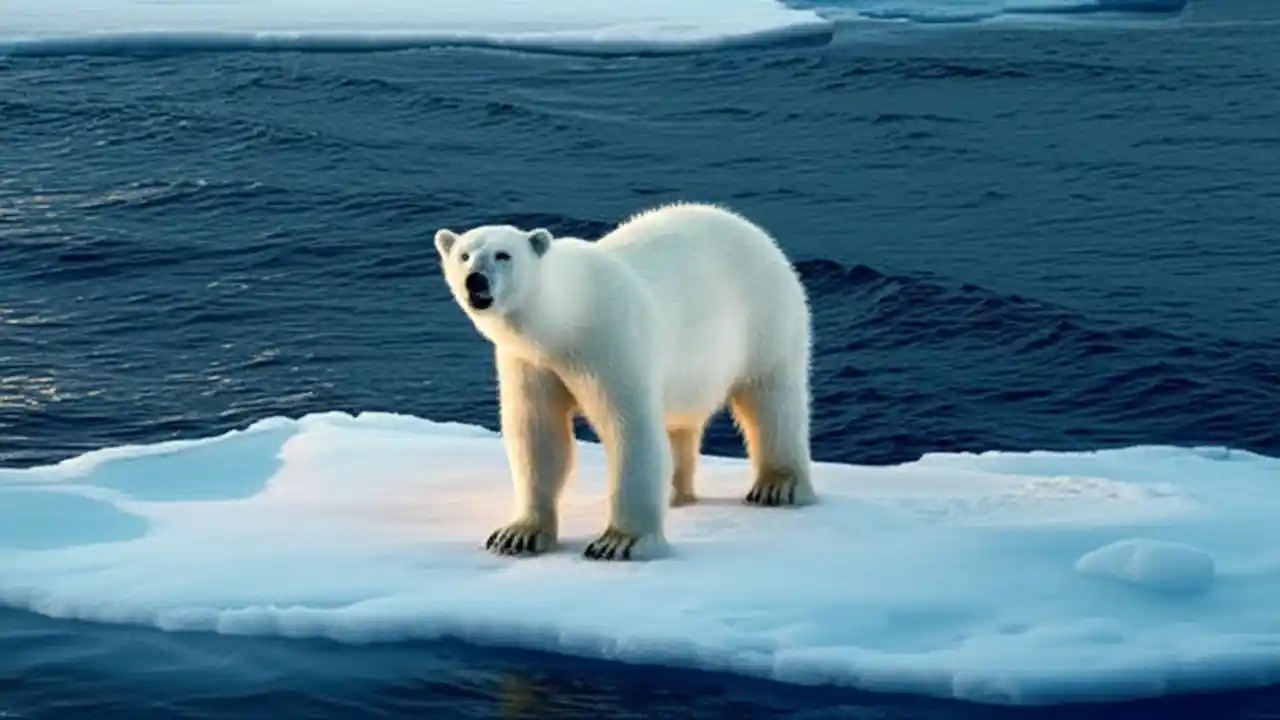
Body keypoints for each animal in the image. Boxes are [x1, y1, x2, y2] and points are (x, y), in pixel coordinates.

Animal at [434, 202, 814, 561]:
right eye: (464, 255)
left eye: (503, 254)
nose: (475, 280)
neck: (570, 318)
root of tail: (752, 229)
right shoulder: (531, 362)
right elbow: (537, 433)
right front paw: (518, 535)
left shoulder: (611, 340)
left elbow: (630, 428)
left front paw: (618, 542)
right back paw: (675, 492)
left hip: (764, 319)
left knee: (771, 400)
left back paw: (778, 486)